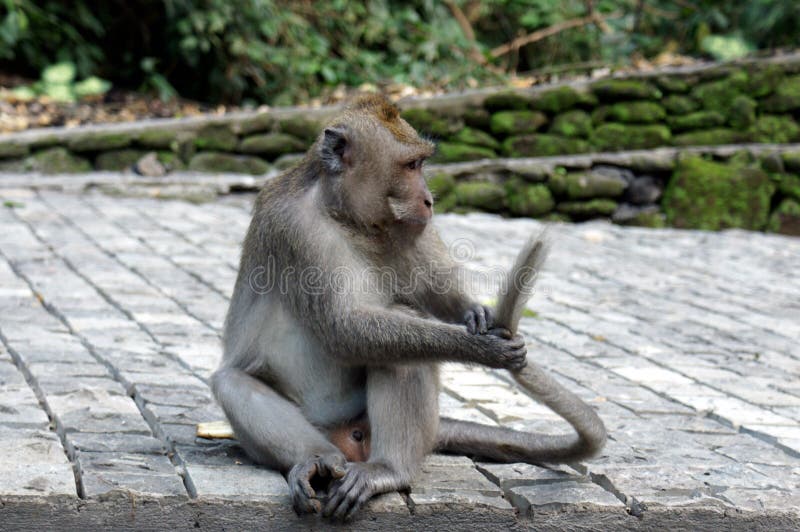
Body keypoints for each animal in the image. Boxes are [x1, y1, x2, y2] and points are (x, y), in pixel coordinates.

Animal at [211, 94, 606, 521]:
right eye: (411, 165)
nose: (430, 199)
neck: (344, 215)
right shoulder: (298, 230)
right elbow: (344, 328)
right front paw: (482, 348)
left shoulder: (409, 227)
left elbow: (432, 286)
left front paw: (474, 312)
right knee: (234, 382)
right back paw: (321, 461)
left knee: (400, 351)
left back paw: (388, 469)